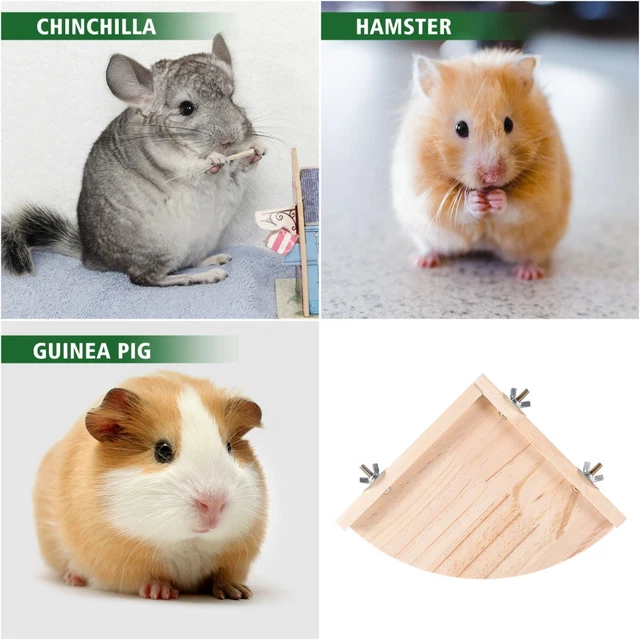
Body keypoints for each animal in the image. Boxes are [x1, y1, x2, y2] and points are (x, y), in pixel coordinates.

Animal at [2, 34, 266, 286]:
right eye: (187, 108)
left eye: (231, 97)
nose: (230, 139)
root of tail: (92, 257)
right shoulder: (170, 161)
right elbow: (193, 165)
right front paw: (214, 159)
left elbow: (241, 165)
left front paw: (256, 148)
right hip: (158, 248)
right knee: (146, 278)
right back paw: (208, 275)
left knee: (186, 263)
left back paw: (214, 259)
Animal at [33, 372, 267, 600]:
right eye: (162, 450)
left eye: (228, 447)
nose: (213, 504)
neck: (190, 542)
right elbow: (152, 577)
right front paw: (161, 593)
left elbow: (222, 576)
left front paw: (238, 593)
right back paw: (74, 579)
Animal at [392, 49, 571, 280]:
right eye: (460, 128)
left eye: (508, 124)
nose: (491, 176)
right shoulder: (426, 191)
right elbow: (455, 208)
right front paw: (476, 200)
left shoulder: (542, 193)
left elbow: (518, 206)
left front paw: (496, 199)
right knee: (430, 247)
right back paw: (422, 261)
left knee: (530, 256)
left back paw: (528, 273)